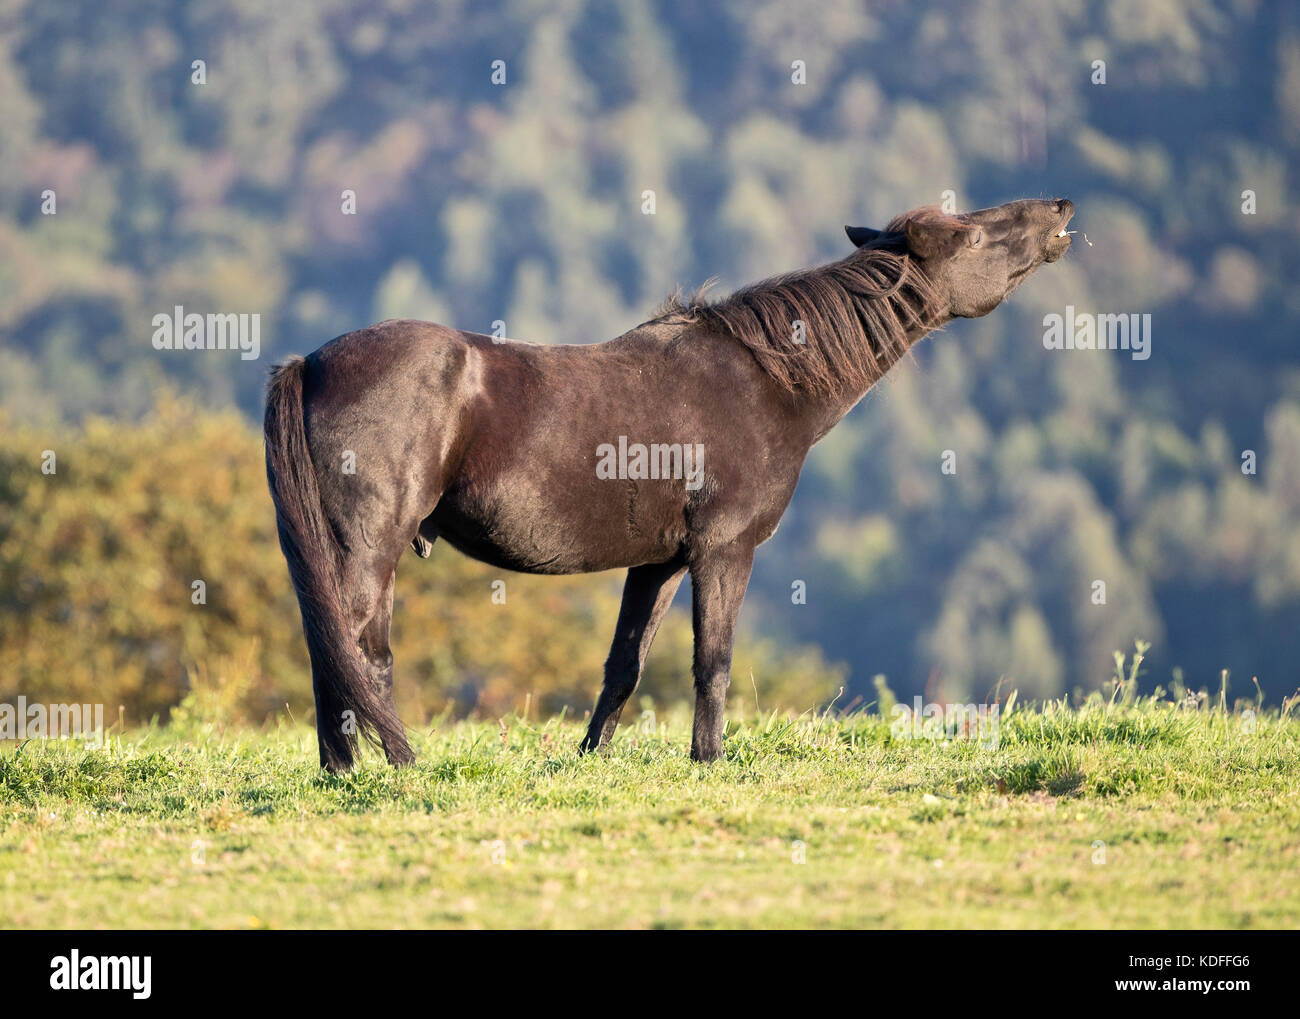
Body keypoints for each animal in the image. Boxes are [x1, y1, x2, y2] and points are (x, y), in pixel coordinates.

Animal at [264, 197, 1076, 771]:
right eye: (970, 235)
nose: (1061, 210)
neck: (765, 381)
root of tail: (310, 363)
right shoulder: (725, 550)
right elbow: (711, 662)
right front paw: (709, 760)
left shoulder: (657, 563)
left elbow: (624, 665)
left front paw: (590, 757)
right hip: (370, 547)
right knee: (346, 646)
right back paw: (378, 767)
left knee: (353, 650)